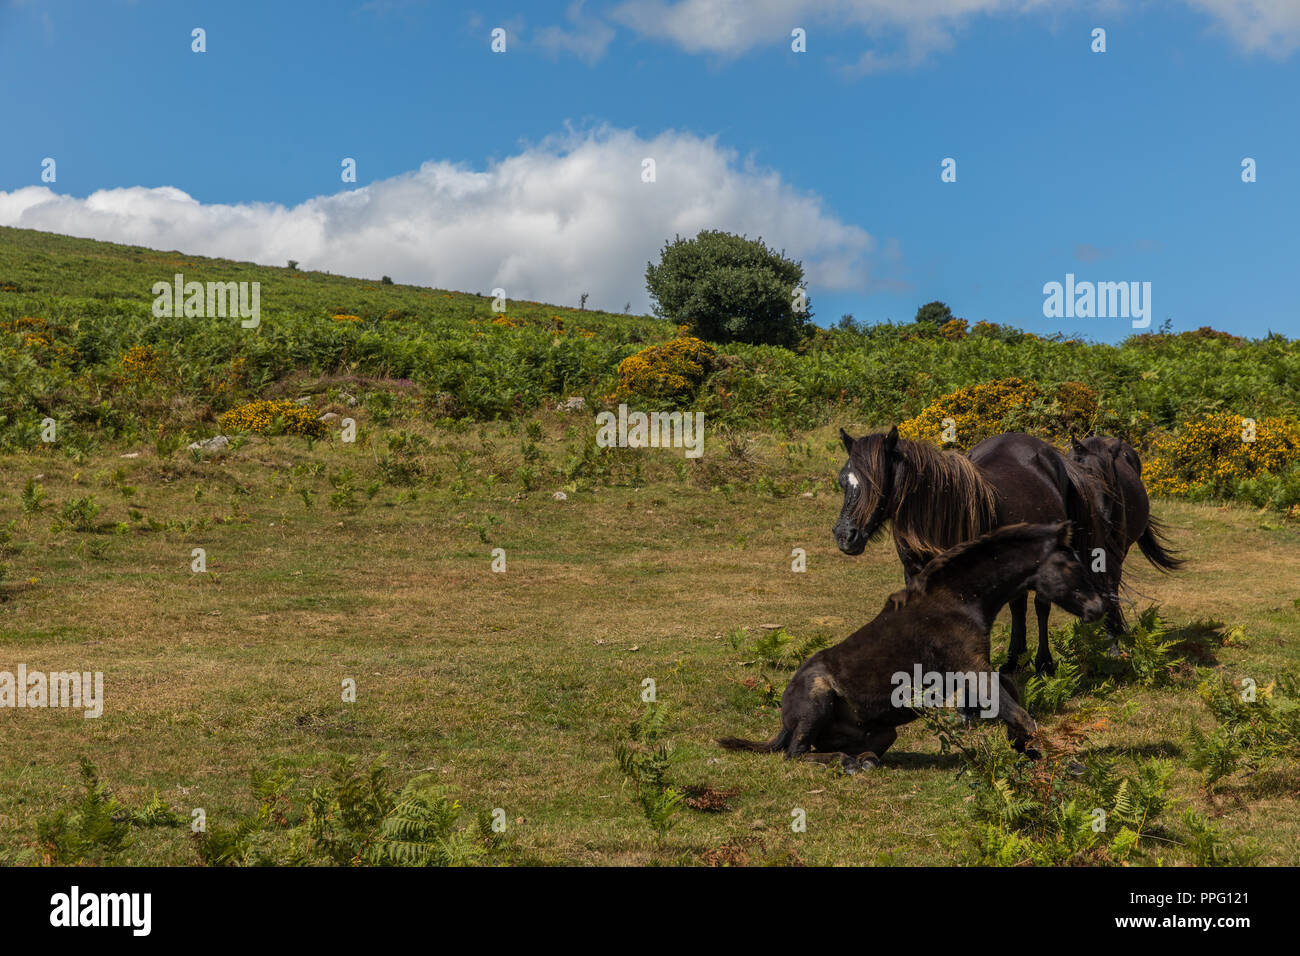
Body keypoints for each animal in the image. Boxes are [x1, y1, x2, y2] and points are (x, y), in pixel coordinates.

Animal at [719, 523, 1107, 771]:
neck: (959, 600)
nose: (1098, 608)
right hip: (817, 700)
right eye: (1070, 565)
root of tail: (785, 717)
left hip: (884, 732)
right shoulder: (973, 671)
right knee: (795, 753)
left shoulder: (975, 672)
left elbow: (1013, 698)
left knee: (855, 751)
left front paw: (1026, 747)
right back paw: (845, 764)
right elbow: (1019, 711)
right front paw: (1056, 760)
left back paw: (863, 762)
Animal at [832, 426, 1106, 676]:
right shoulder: (914, 574)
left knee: (1041, 608)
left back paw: (1043, 665)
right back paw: (1013, 662)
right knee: (1018, 606)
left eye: (877, 484)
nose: (845, 536)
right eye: (843, 481)